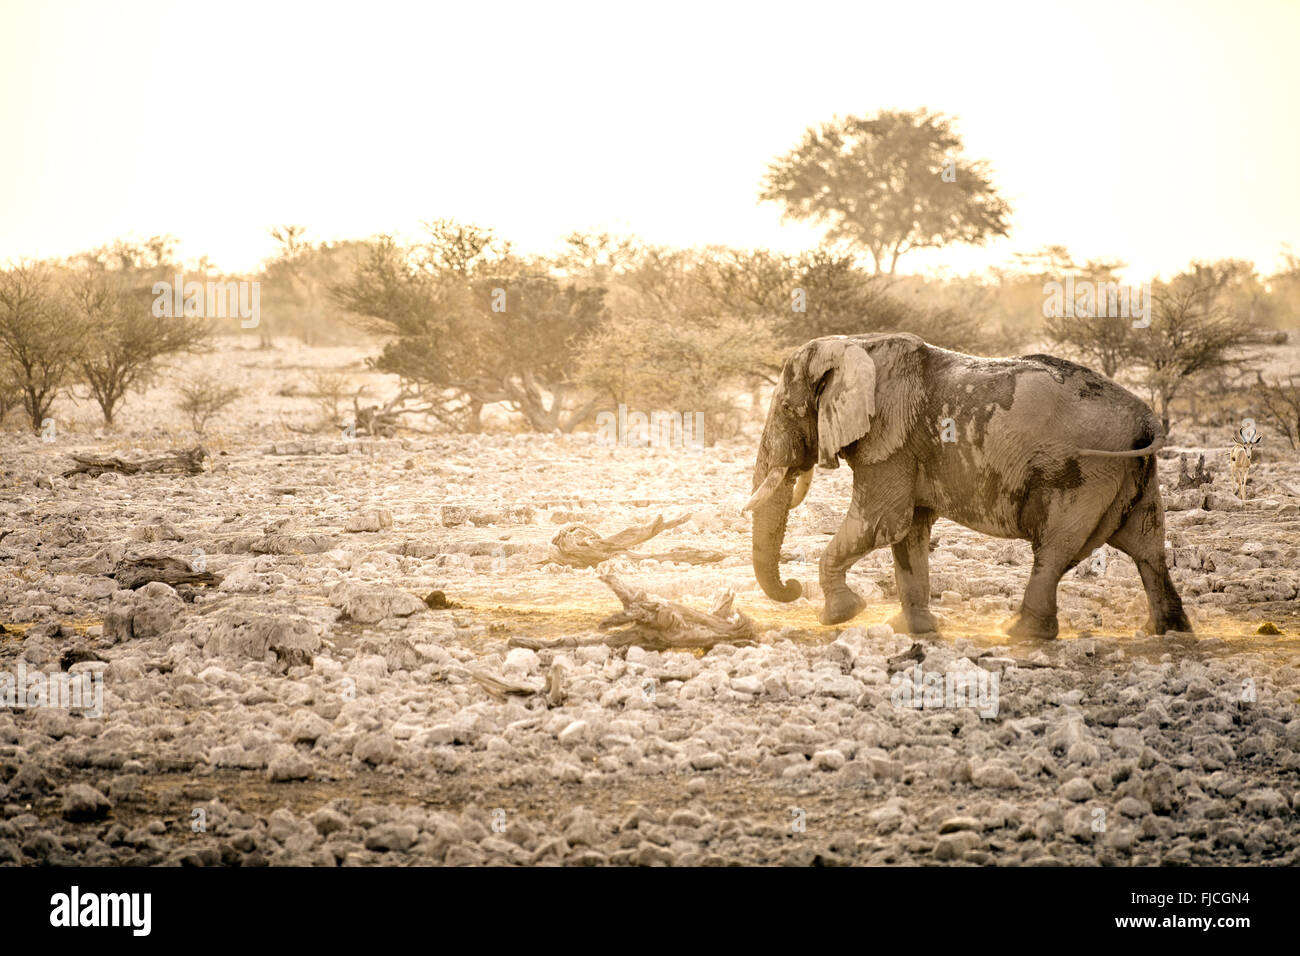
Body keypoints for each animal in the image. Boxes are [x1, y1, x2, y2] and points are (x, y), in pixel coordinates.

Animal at [745, 332, 1191, 640]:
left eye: (787, 408)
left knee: (1054, 549)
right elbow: (909, 532)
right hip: (1132, 472)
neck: (853, 343)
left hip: (1083, 472)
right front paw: (913, 629)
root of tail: (1147, 420)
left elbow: (882, 520)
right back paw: (1166, 631)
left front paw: (841, 614)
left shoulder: (889, 439)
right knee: (1147, 546)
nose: (792, 587)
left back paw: (1020, 633)